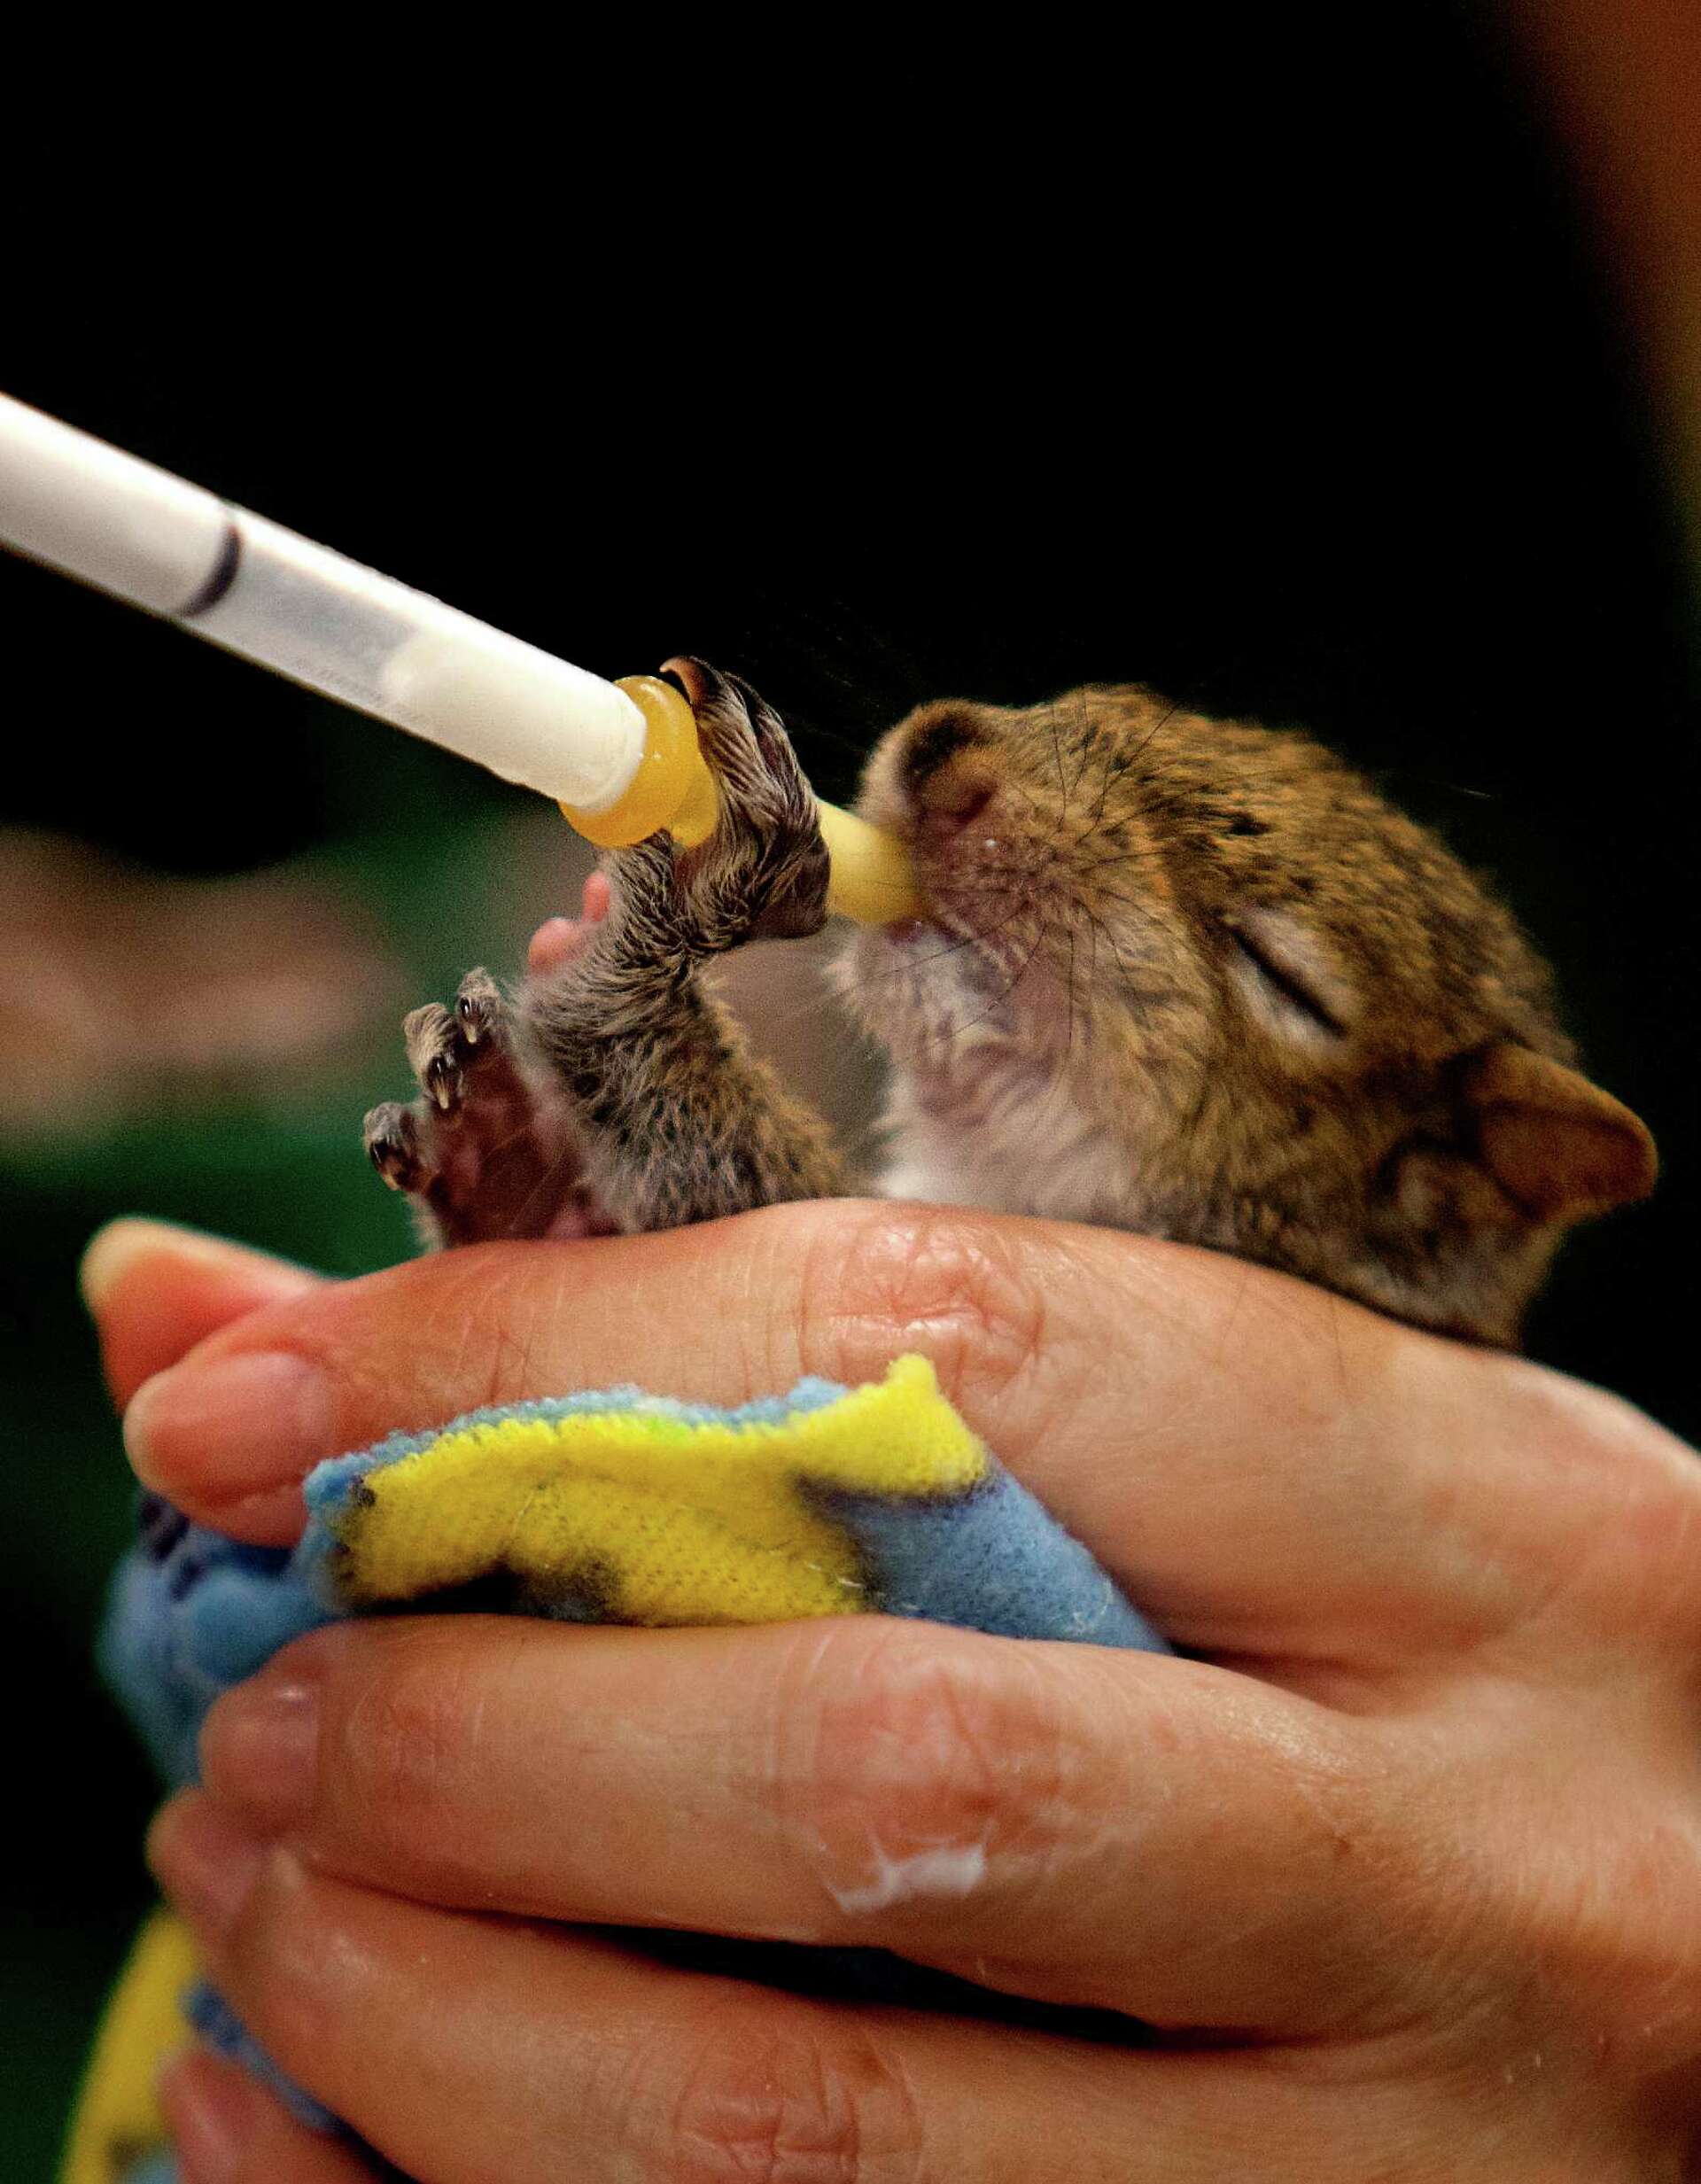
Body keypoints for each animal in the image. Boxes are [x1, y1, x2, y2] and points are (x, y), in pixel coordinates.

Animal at [365, 657, 1655, 1349]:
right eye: (1124, 693)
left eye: (1285, 978)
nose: (947, 753)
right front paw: (507, 1154)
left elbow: (721, 1174)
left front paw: (660, 918)